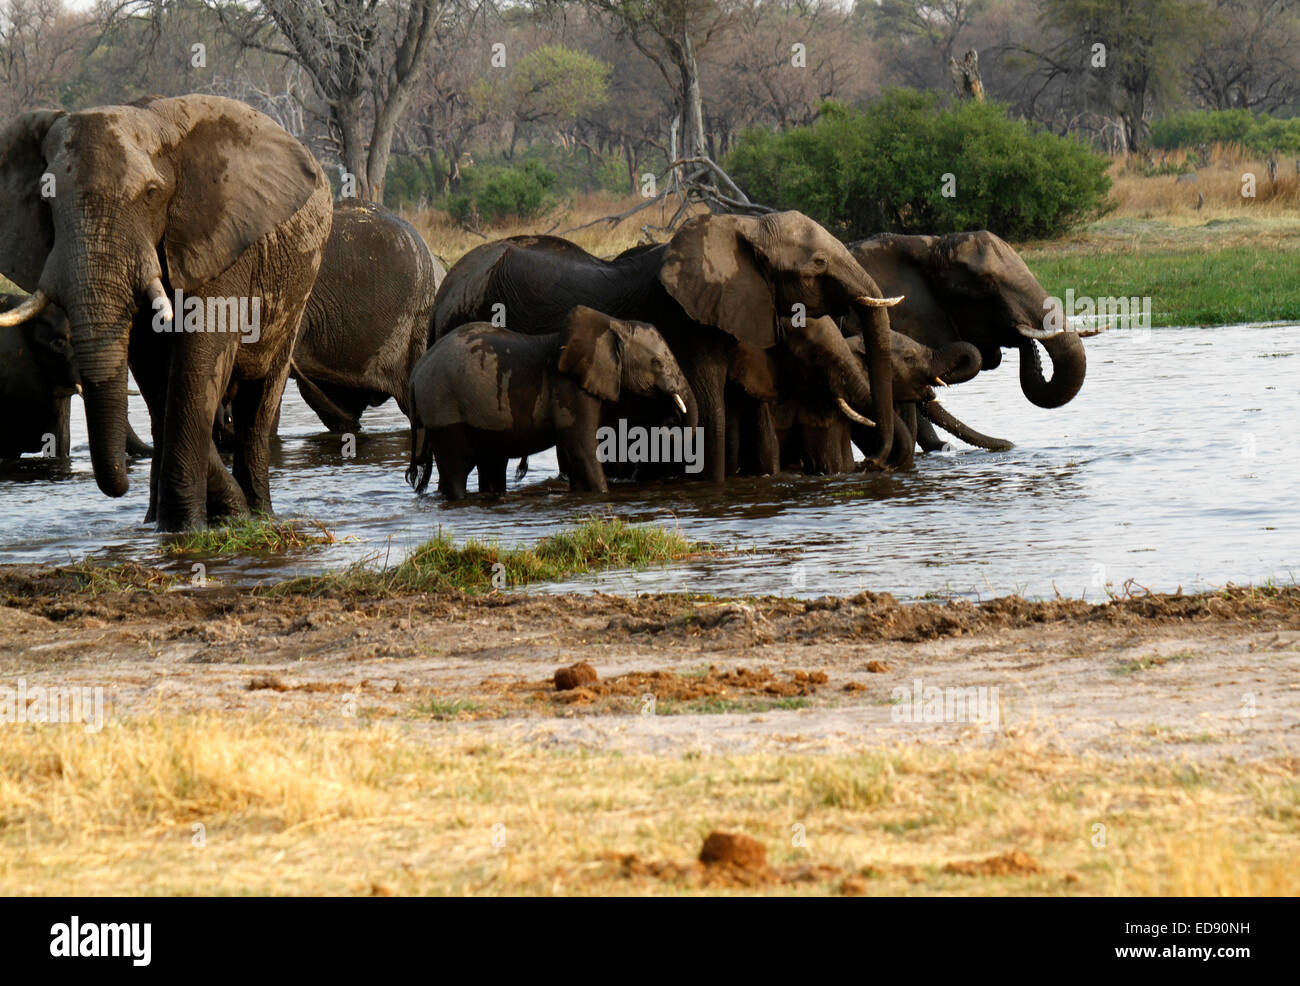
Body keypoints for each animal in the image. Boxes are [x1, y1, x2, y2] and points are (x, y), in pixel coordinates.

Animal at [0, 95, 333, 530]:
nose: (121, 485)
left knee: (259, 404)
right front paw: (198, 520)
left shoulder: (218, 239)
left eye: (152, 193)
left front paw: (194, 528)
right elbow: (155, 373)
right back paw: (158, 520)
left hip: (298, 287)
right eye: (46, 199)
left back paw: (260, 516)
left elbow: (195, 362)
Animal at [407, 306, 691, 499]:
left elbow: (573, 453)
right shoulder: (568, 388)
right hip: (442, 403)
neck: (614, 324)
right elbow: (582, 448)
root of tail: (416, 371)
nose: (670, 421)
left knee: (489, 465)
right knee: (456, 468)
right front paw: (602, 496)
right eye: (656, 363)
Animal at [431, 211, 904, 483]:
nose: (874, 465)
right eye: (818, 264)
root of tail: (445, 285)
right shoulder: (684, 319)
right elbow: (711, 411)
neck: (739, 227)